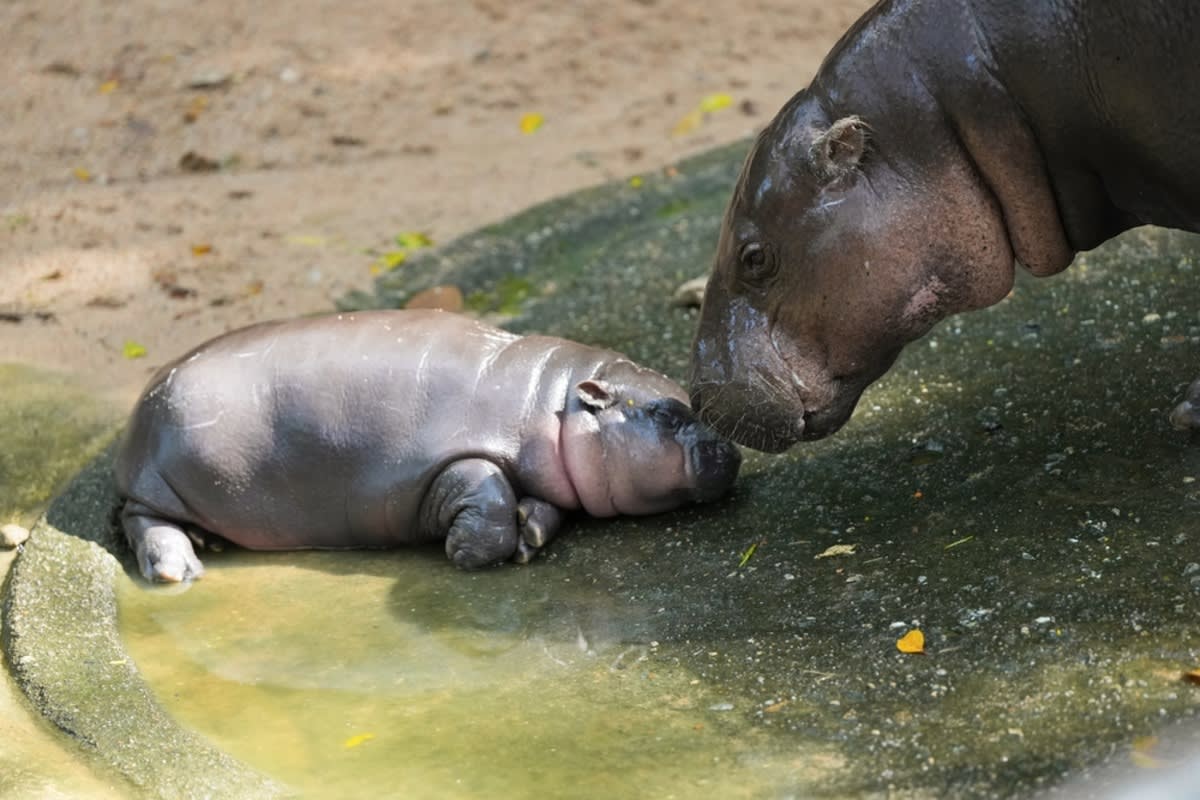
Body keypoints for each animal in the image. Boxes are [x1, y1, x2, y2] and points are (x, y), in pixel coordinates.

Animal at [114, 310, 740, 582]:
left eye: (683, 396)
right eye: (664, 412)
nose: (731, 451)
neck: (550, 402)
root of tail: (142, 405)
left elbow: (542, 507)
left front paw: (531, 531)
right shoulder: (448, 461)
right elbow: (485, 491)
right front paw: (467, 552)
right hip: (161, 481)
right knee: (140, 519)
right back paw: (180, 569)